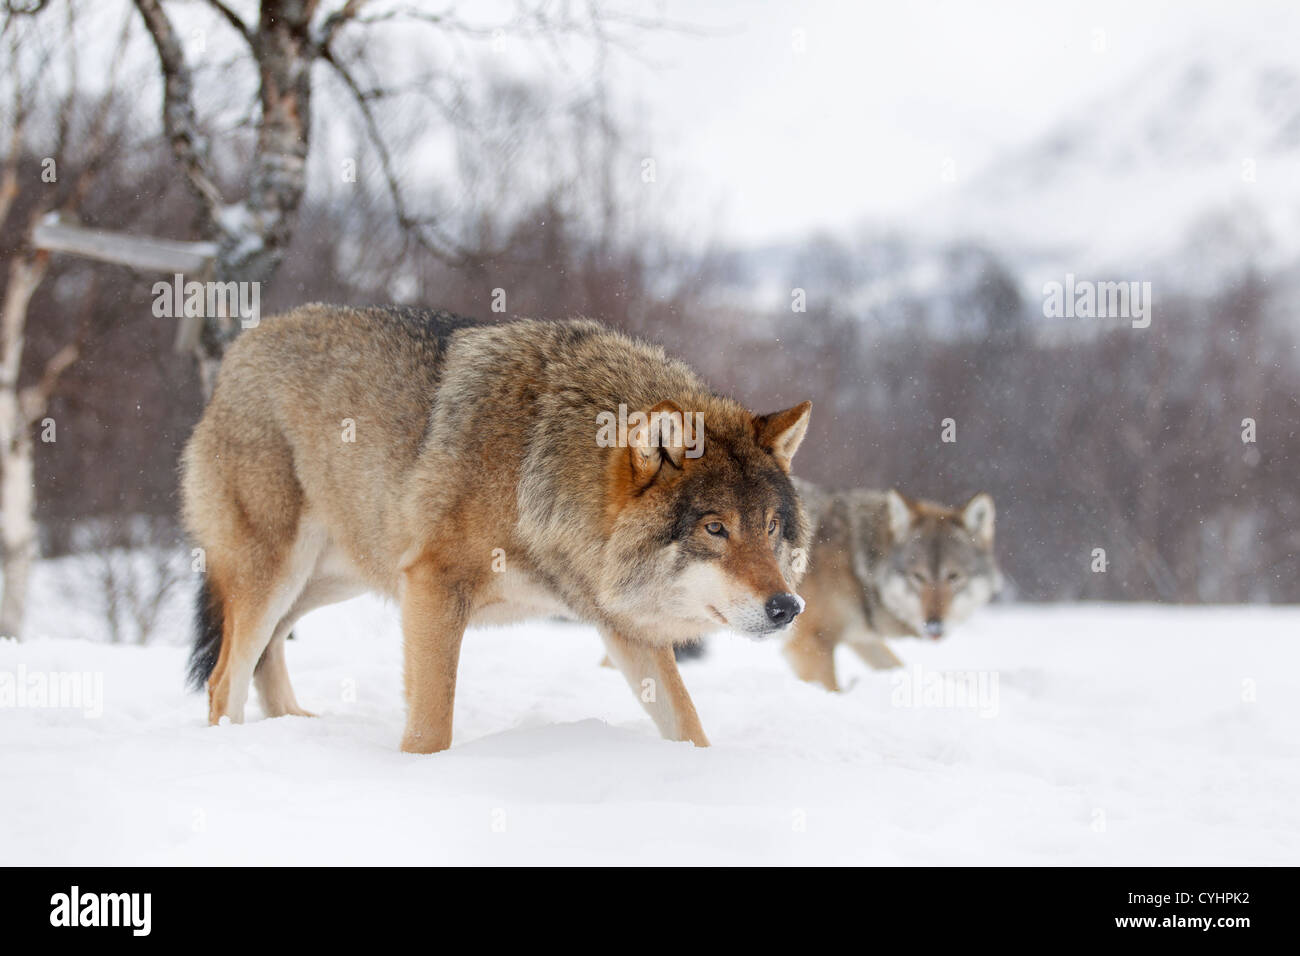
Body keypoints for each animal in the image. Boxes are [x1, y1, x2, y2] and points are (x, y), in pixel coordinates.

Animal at [181, 305, 812, 752]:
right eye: (715, 528)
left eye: (771, 526)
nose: (787, 607)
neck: (541, 465)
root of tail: (240, 348)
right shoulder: (434, 587)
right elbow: (431, 728)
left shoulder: (624, 627)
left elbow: (688, 723)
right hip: (277, 574)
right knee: (223, 678)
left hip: (340, 580)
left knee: (262, 655)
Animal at [782, 479, 1000, 691]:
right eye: (918, 577)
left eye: (953, 576)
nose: (934, 626)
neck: (856, 565)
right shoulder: (811, 642)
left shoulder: (860, 638)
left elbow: (895, 666)